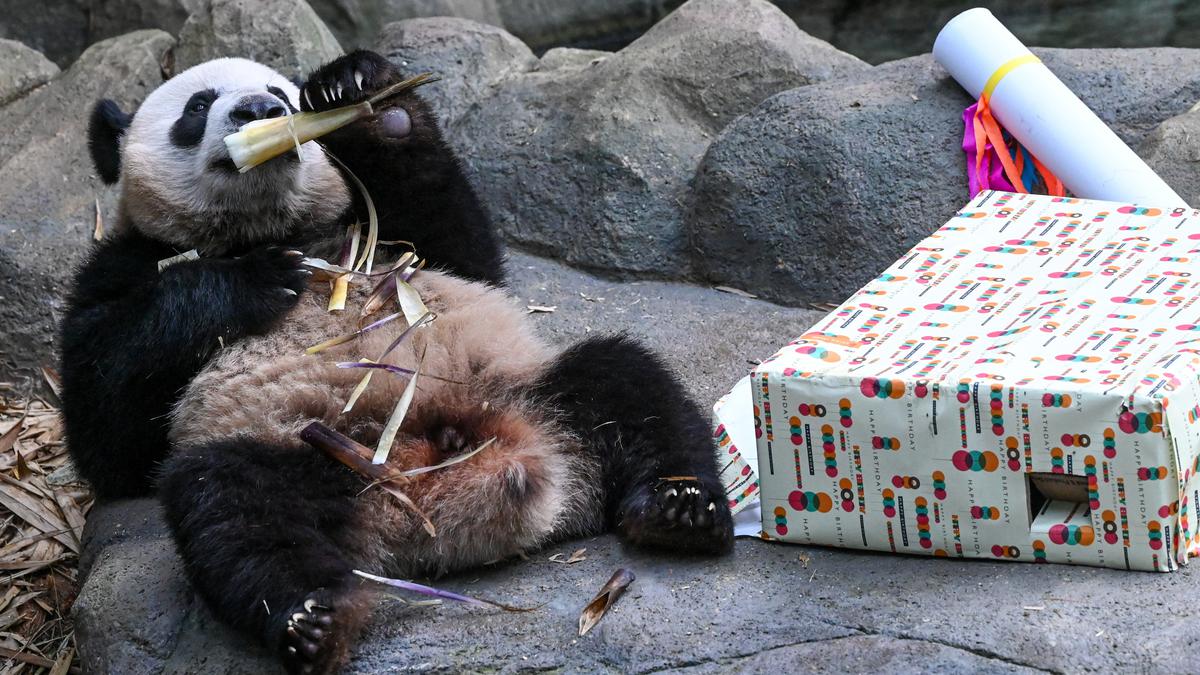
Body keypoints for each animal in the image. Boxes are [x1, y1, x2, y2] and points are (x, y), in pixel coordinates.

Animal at [61, 50, 733, 674]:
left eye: (283, 93)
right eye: (197, 106)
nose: (258, 110)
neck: (269, 228)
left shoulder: (383, 235)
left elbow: (460, 246)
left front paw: (362, 93)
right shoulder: (120, 266)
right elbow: (109, 431)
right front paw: (254, 280)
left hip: (526, 386)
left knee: (627, 382)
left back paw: (679, 508)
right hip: (306, 449)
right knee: (232, 508)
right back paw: (313, 620)